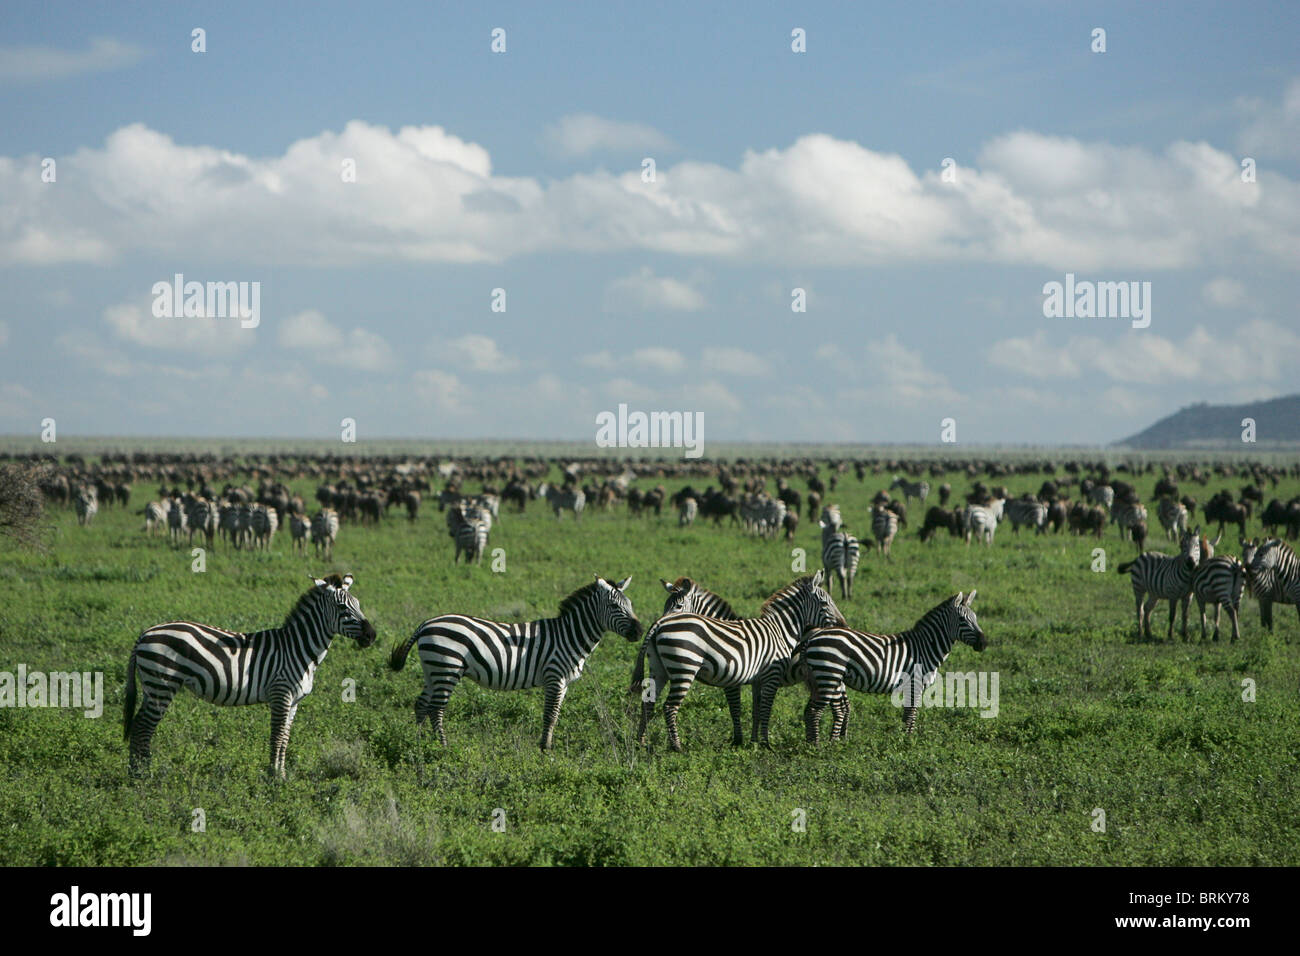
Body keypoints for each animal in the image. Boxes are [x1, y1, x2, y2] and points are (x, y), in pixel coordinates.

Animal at [123, 573, 376, 777]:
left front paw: (282, 776)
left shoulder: (294, 701)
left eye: (358, 604)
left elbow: (285, 739)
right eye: (343, 608)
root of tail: (145, 634)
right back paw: (143, 776)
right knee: (143, 728)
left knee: (138, 725)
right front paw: (273, 779)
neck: (298, 648)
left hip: (152, 687)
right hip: (161, 684)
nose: (372, 635)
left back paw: (136, 774)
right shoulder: (280, 694)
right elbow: (276, 737)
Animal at [390, 576, 641, 750]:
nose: (639, 632)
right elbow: (550, 715)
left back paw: (420, 745)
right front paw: (545, 749)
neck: (569, 636)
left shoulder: (565, 683)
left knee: (422, 705)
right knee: (436, 709)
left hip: (432, 670)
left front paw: (548, 746)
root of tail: (426, 624)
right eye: (615, 607)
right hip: (447, 668)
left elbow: (555, 716)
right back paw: (443, 748)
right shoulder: (554, 677)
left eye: (630, 604)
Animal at [636, 571, 845, 752]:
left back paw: (641, 742)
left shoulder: (755, 679)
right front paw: (760, 743)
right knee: (668, 707)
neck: (779, 630)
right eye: (825, 603)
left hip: (659, 669)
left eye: (677, 606)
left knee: (649, 703)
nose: (843, 625)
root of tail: (659, 625)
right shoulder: (764, 676)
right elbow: (754, 709)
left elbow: (755, 710)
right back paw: (676, 746)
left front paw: (752, 742)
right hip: (684, 669)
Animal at [797, 590, 987, 740]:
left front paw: (903, 740)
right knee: (814, 712)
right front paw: (908, 743)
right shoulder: (915, 685)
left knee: (808, 711)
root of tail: (814, 636)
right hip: (828, 675)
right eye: (962, 619)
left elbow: (907, 716)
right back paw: (817, 747)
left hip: (822, 678)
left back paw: (811, 745)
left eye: (976, 618)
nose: (983, 643)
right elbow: (911, 716)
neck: (925, 647)